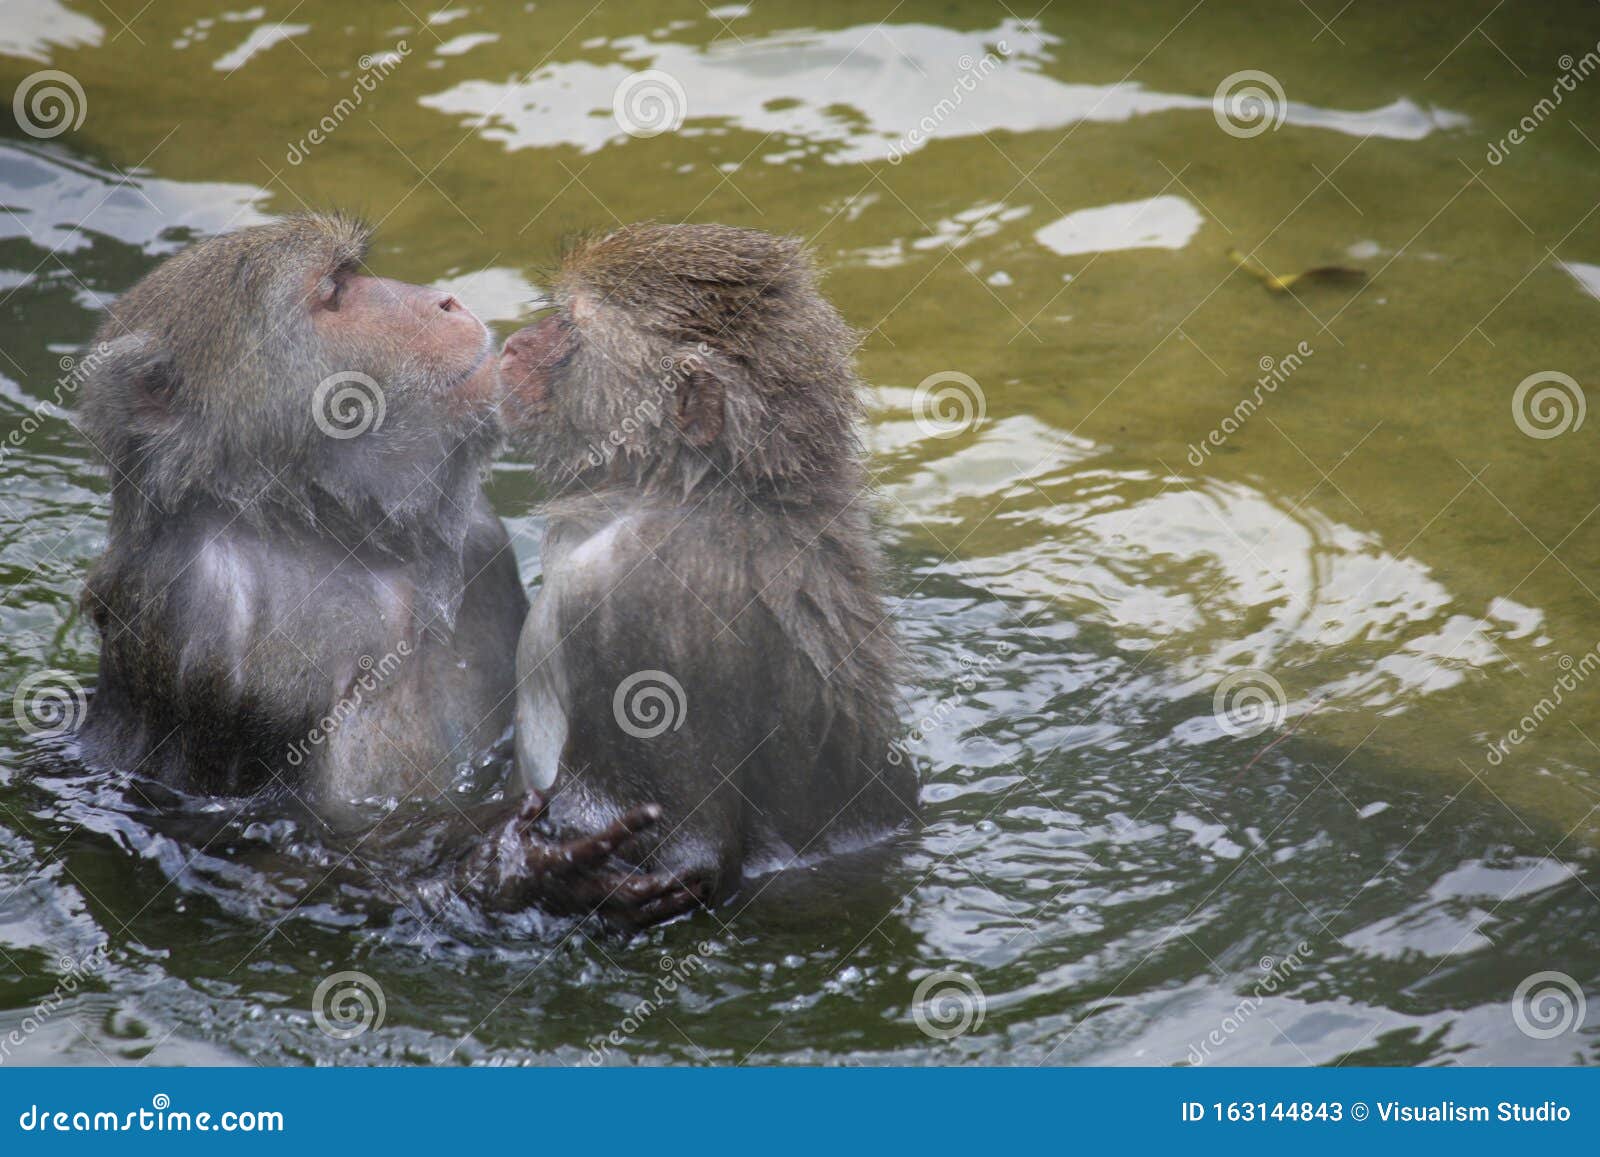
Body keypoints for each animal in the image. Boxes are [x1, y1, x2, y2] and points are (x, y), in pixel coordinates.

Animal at [74, 212, 693, 927]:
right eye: (333, 290)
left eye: (353, 273)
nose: (442, 300)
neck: (332, 537)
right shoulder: (201, 624)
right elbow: (251, 846)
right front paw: (513, 868)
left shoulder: (481, 536)